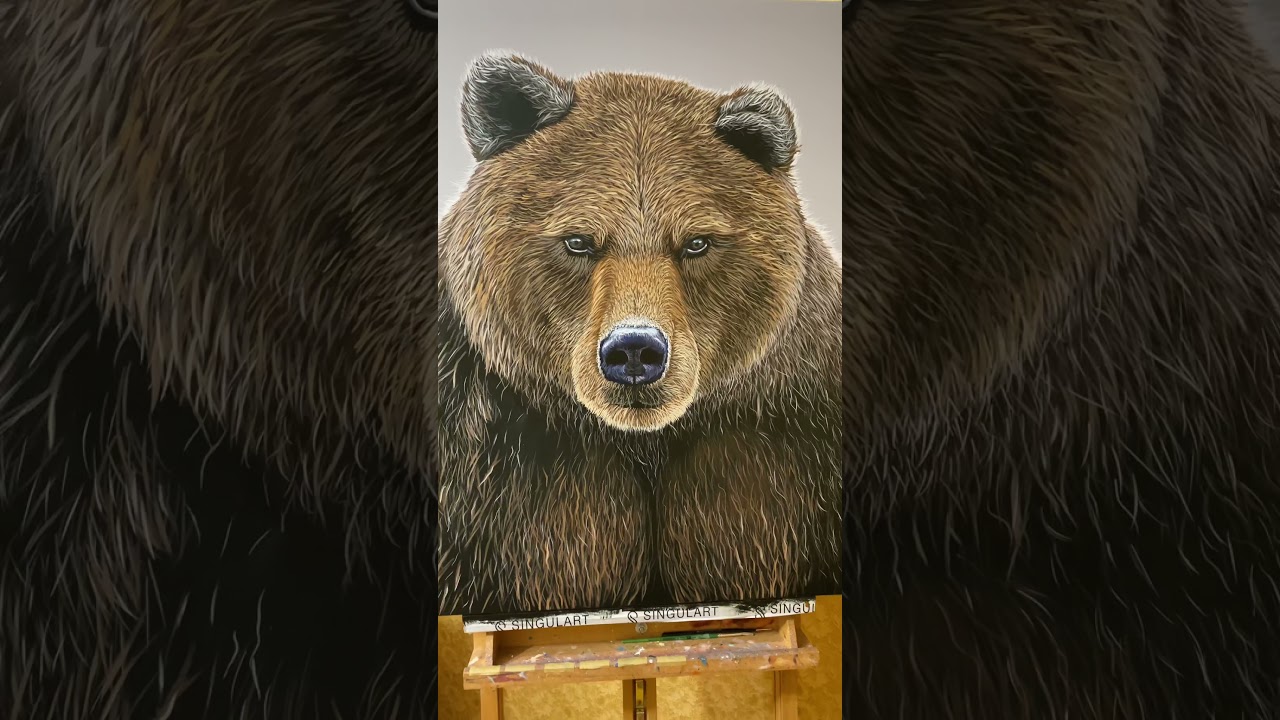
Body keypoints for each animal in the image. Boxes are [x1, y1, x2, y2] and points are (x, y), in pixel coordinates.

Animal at [437, 54, 841, 616]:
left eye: (696, 241)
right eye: (578, 240)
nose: (634, 351)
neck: (644, 443)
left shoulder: (788, 445)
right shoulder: (490, 466)